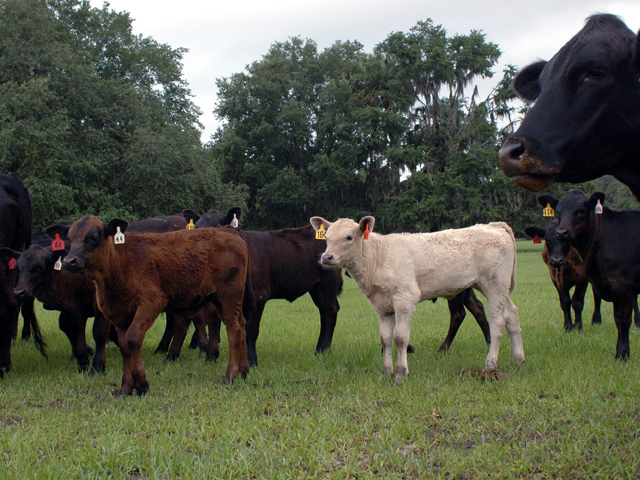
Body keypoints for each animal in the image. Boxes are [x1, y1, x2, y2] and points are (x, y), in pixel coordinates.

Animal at [51, 216, 250, 395]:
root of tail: (228, 231)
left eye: (92, 238)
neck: (122, 264)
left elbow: (133, 339)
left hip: (228, 296)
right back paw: (244, 370)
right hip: (220, 299)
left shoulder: (150, 303)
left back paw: (230, 375)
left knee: (234, 329)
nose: (69, 261)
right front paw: (126, 388)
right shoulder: (119, 314)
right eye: (69, 239)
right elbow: (124, 347)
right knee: (242, 325)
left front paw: (141, 384)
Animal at [310, 216, 525, 382]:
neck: (379, 257)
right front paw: (385, 373)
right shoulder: (381, 306)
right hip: (495, 288)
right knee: (512, 314)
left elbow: (400, 337)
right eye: (326, 238)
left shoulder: (405, 299)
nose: (326, 257)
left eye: (349, 237)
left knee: (497, 322)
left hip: (495, 285)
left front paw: (400, 373)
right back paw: (519, 359)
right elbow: (385, 339)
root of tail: (494, 225)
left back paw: (490, 365)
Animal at [540, 189, 640, 360]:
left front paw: (622, 355)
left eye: (580, 211)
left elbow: (621, 319)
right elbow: (567, 302)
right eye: (558, 211)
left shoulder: (621, 284)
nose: (562, 232)